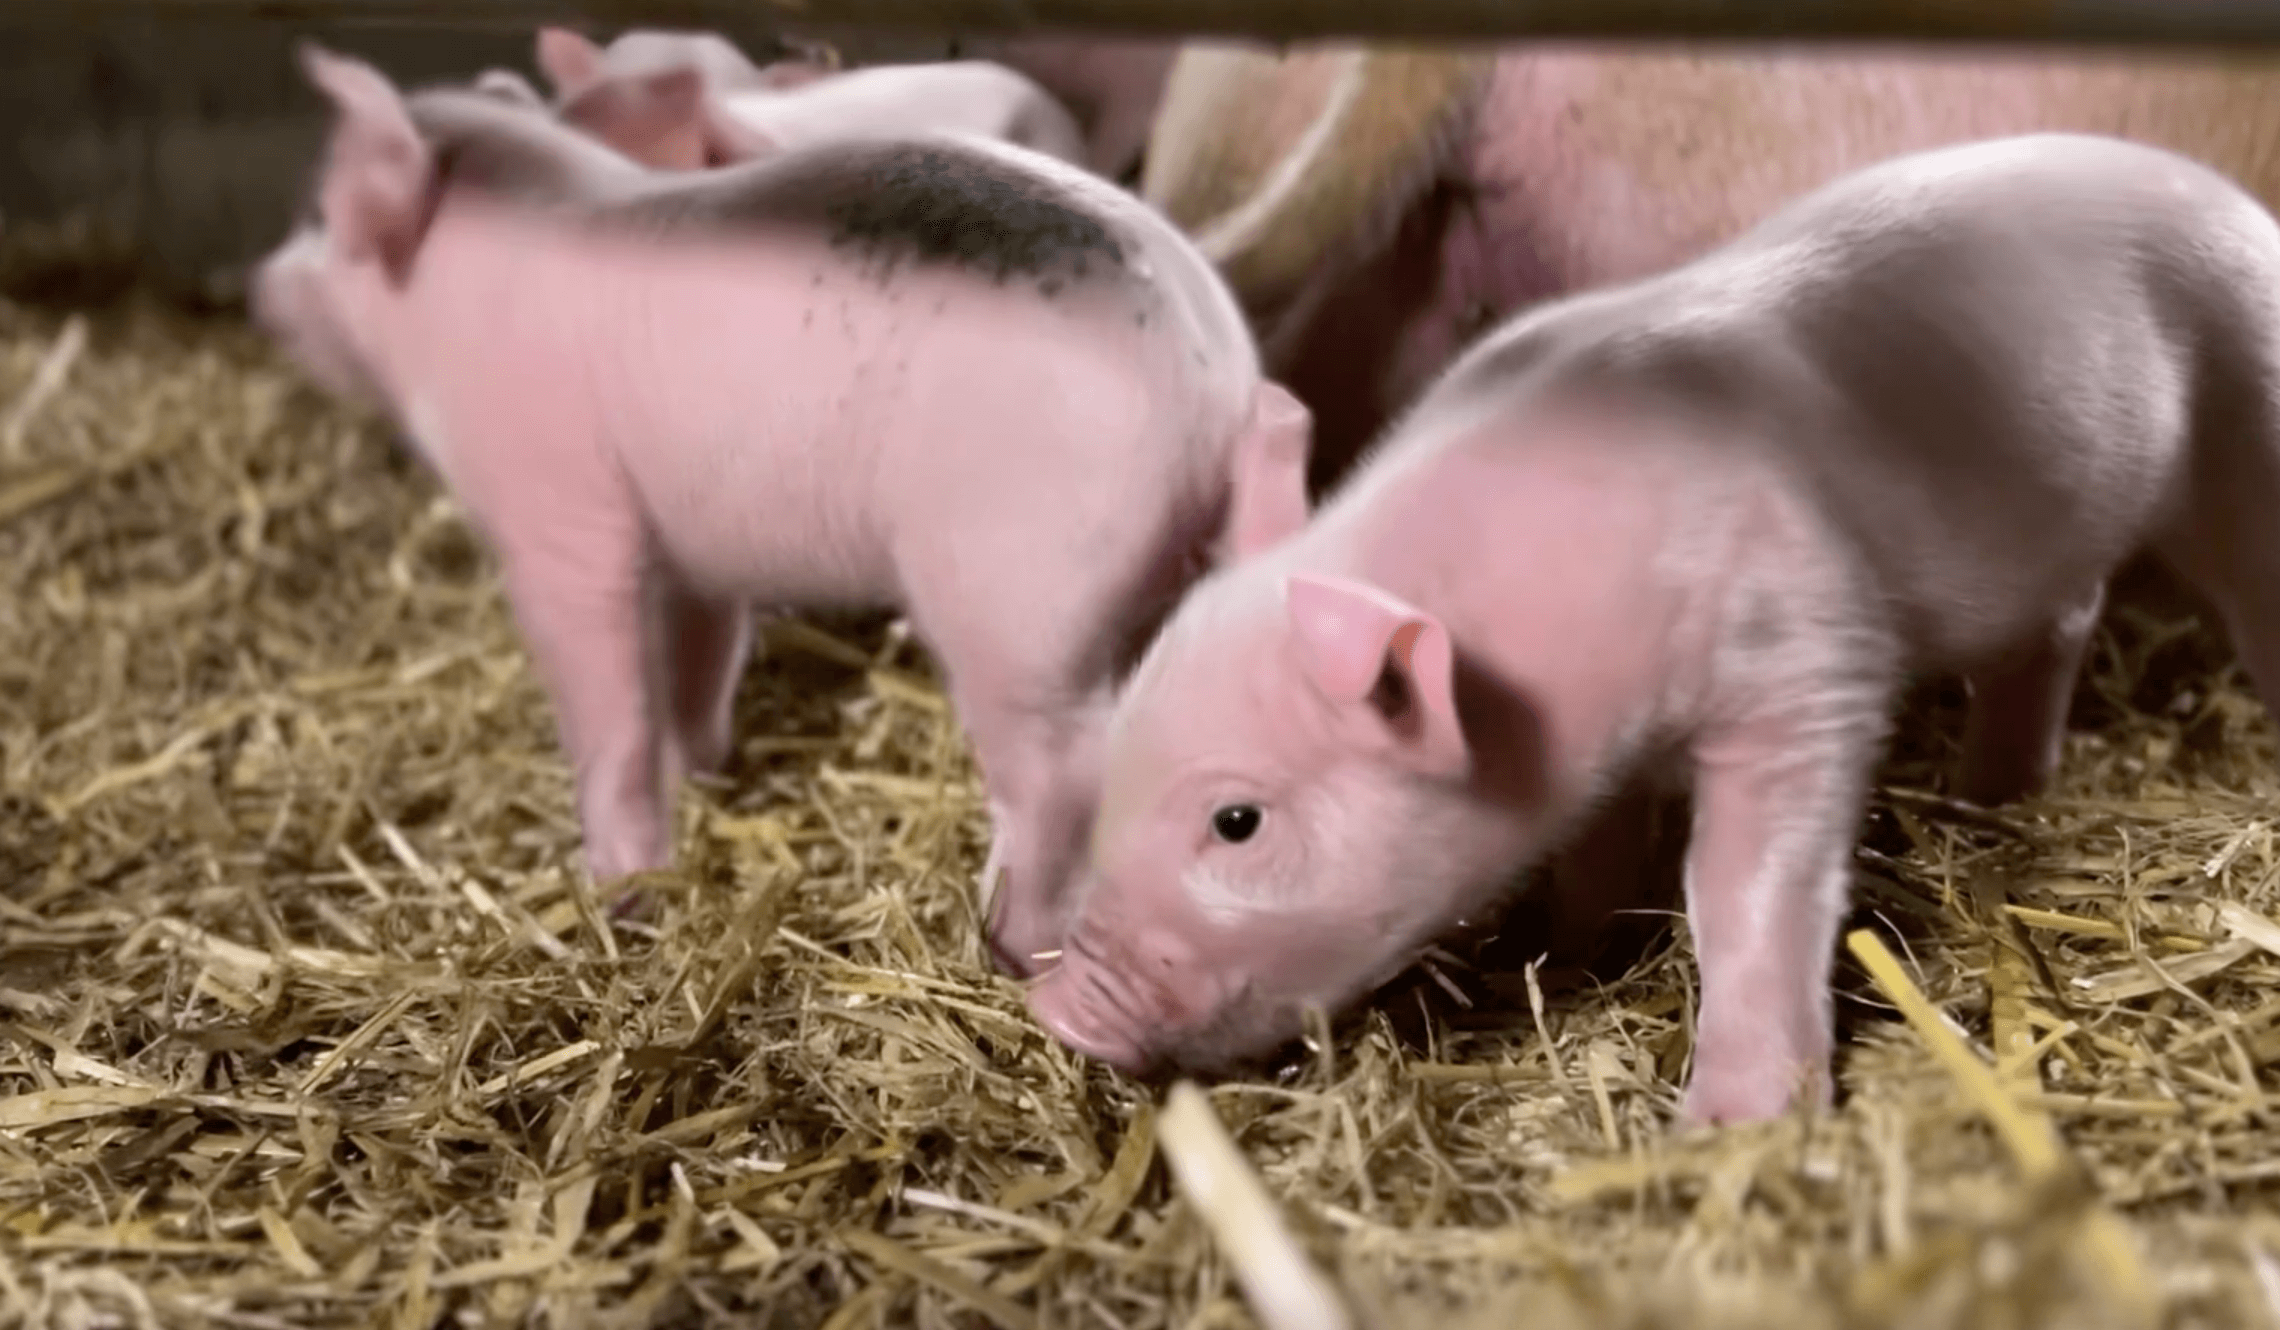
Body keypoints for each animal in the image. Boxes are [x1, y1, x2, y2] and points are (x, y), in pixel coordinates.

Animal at [251, 45, 1310, 960]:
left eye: (320, 214)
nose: (259, 286)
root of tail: (1220, 383)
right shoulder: (696, 544)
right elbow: (698, 656)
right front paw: (707, 775)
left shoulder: (561, 520)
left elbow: (608, 710)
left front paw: (622, 896)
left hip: (1019, 588)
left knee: (1069, 767)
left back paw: (1010, 943)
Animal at [1023, 132, 2280, 1126]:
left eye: (1236, 821)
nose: (1059, 1005)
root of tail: (2227, 195)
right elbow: (1596, 847)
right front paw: (1566, 947)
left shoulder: (1808, 653)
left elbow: (1745, 882)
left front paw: (1733, 1129)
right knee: (2062, 620)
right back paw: (1993, 797)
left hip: (2246, 413)